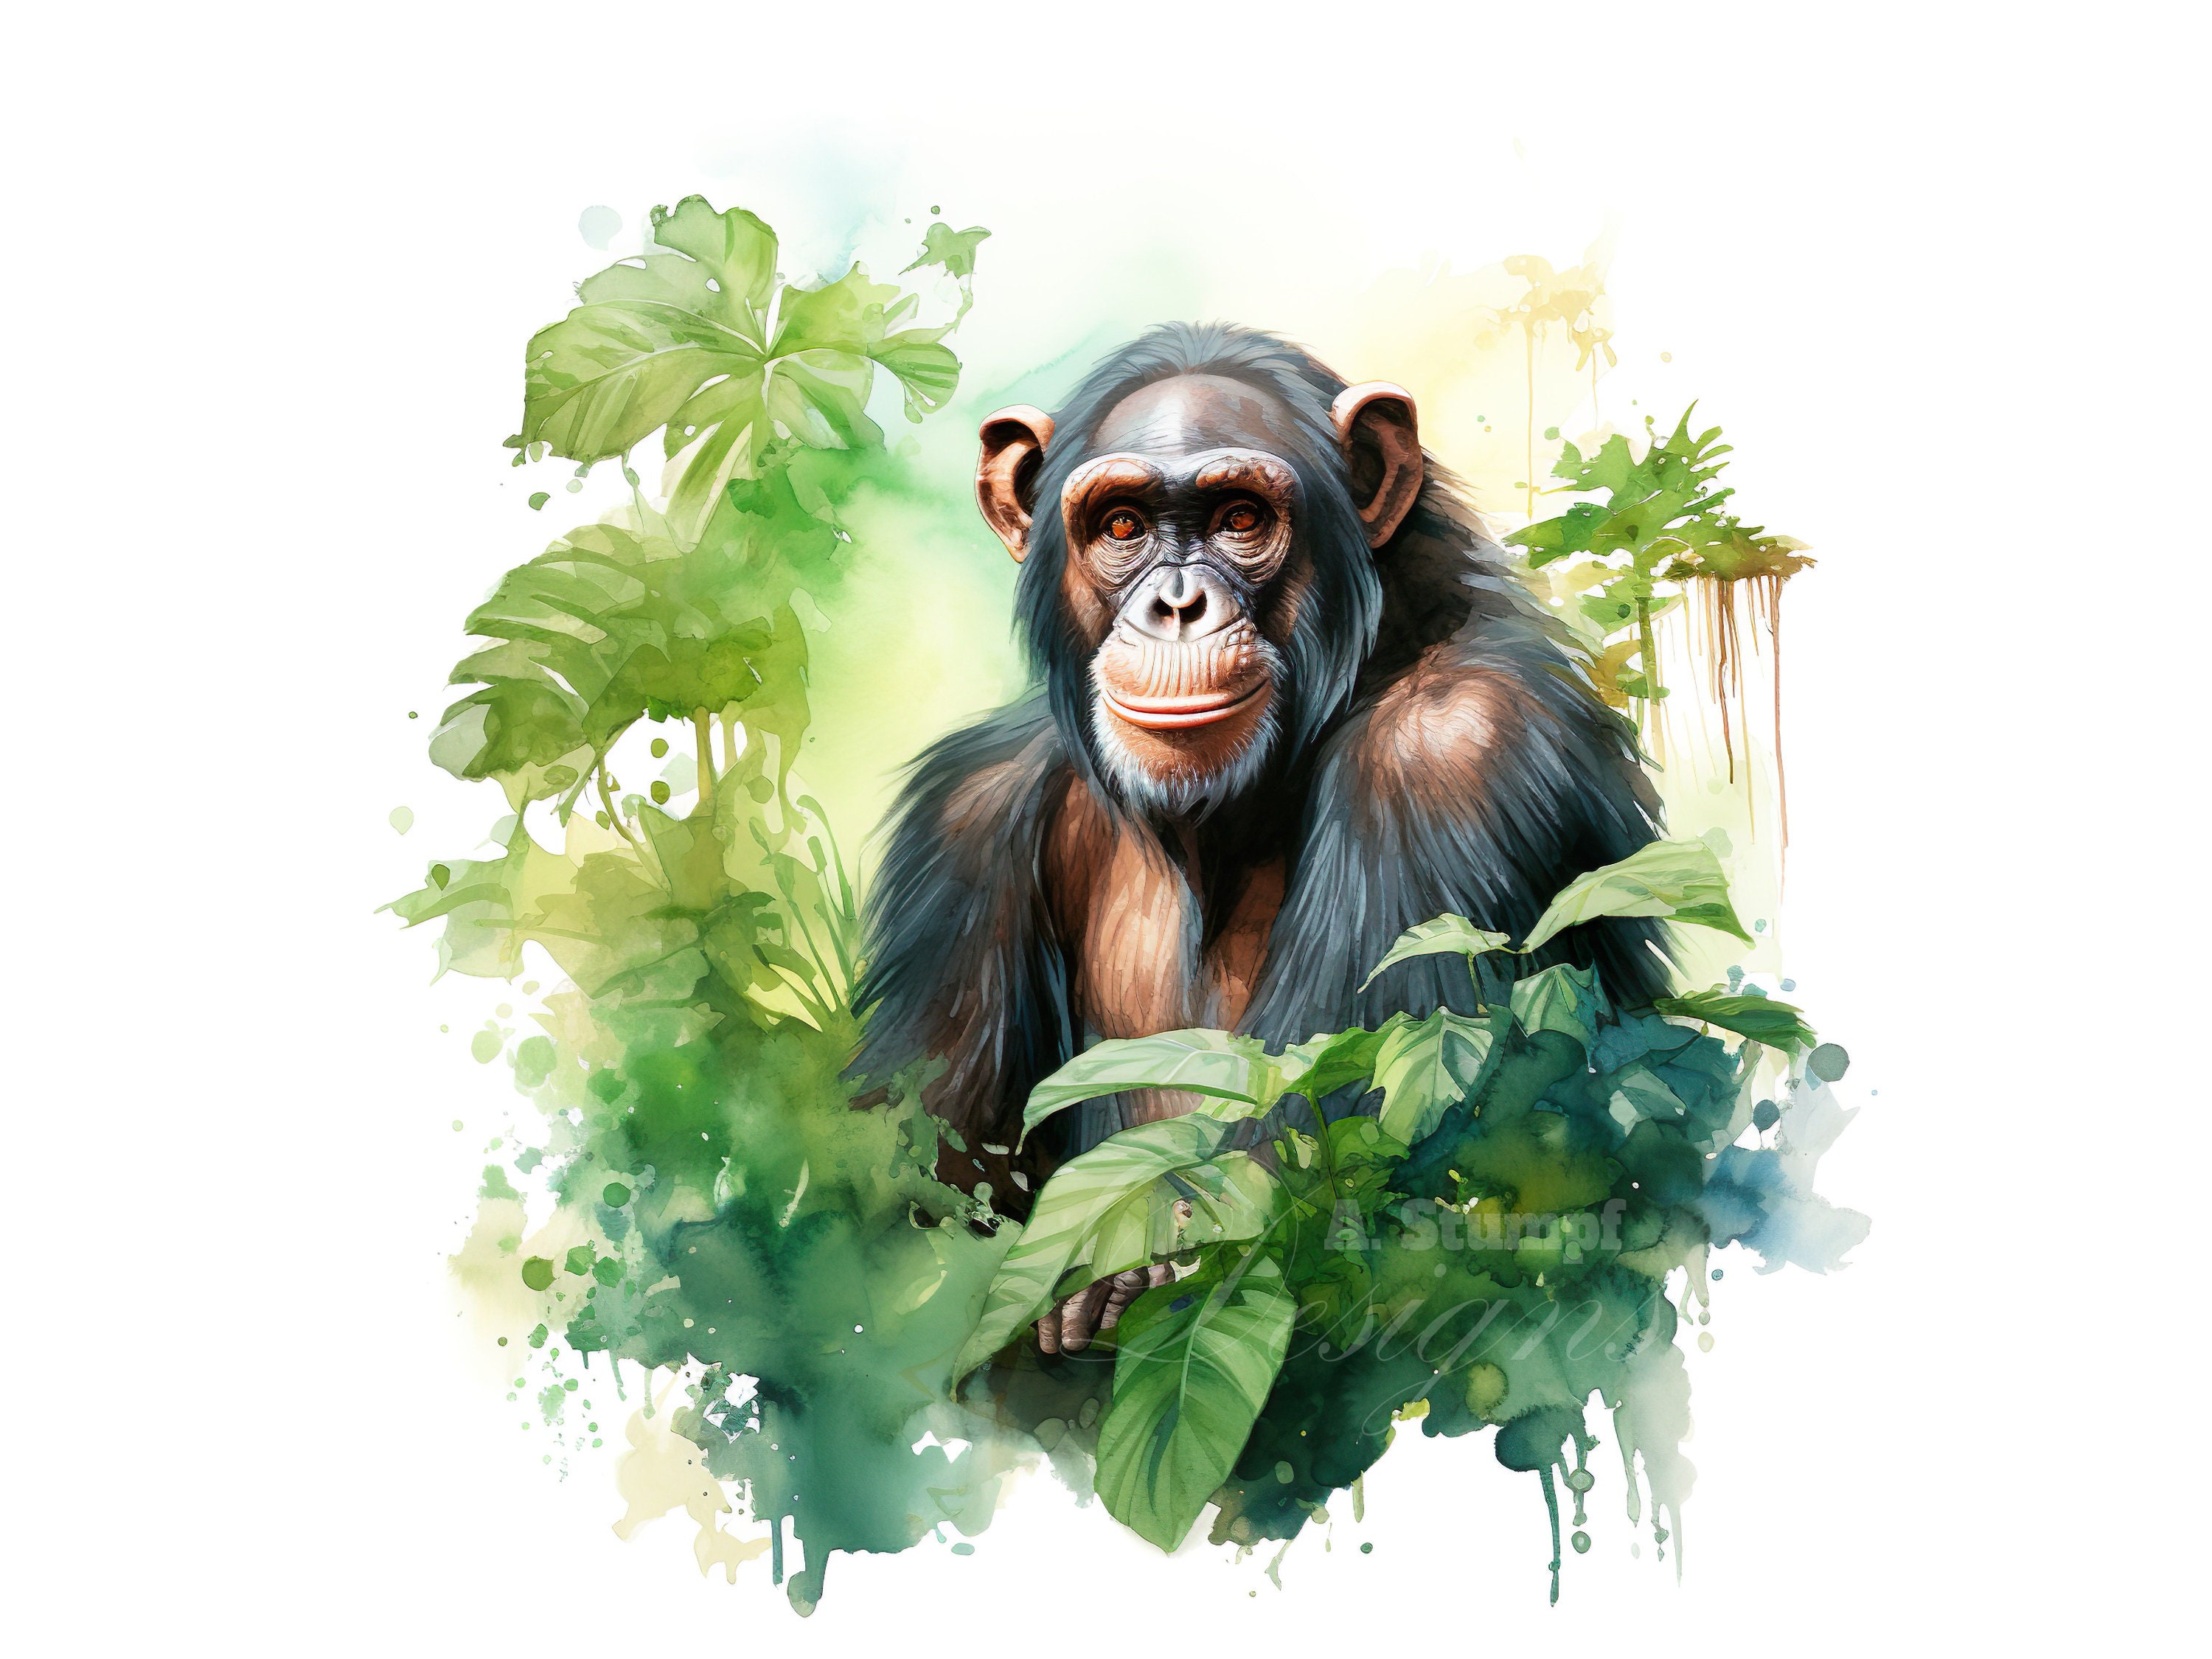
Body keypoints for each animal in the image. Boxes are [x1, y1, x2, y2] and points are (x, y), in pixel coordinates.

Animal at [854, 323, 1670, 1353]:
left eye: (1240, 517)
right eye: (1122, 528)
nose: (1175, 605)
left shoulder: (1452, 752)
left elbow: (1315, 1180)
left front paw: (1114, 1279)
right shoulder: (963, 823)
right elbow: (907, 1191)